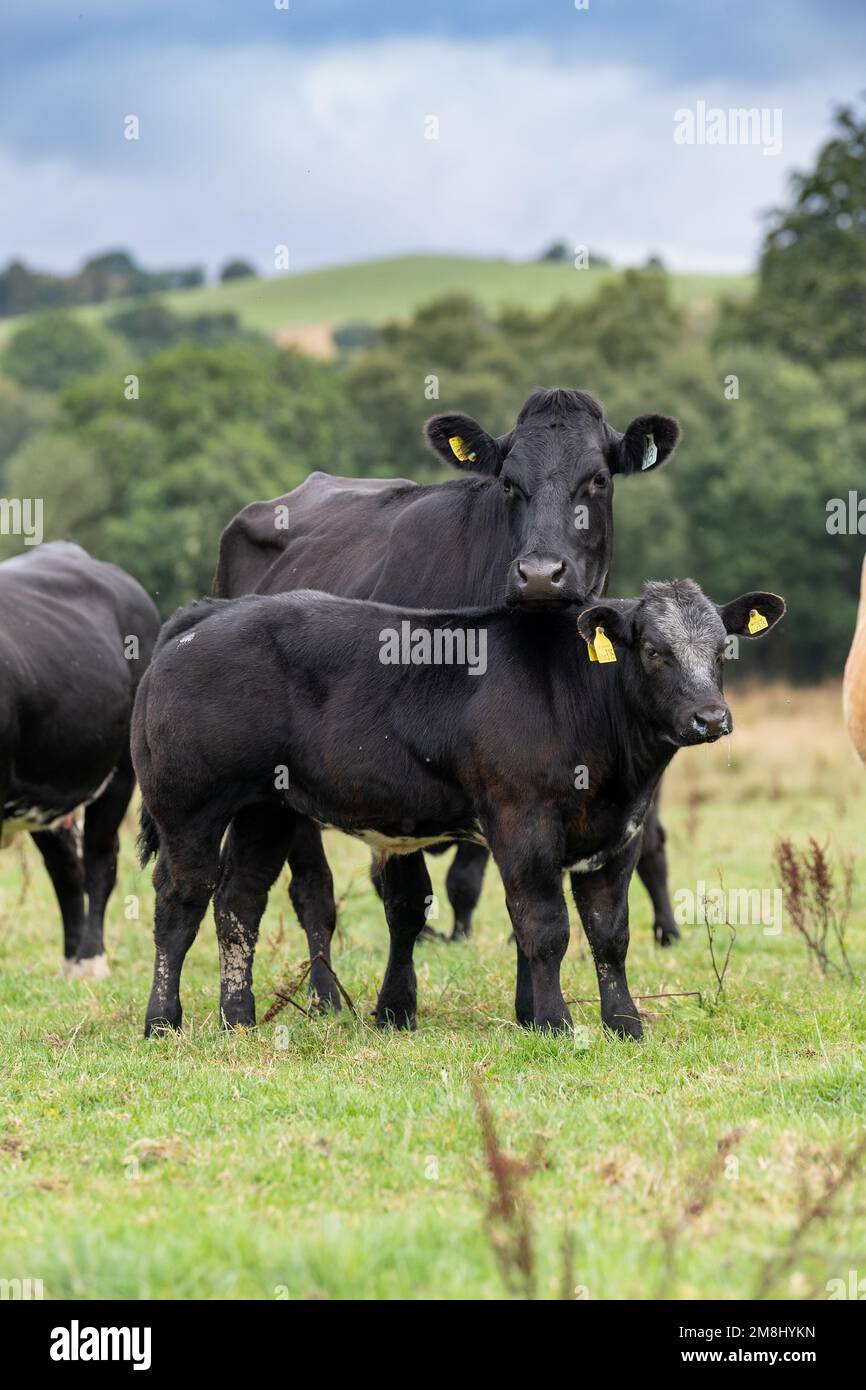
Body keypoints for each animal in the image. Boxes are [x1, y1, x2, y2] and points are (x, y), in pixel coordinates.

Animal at [0, 542, 160, 974]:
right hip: (49, 787)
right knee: (65, 870)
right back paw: (71, 962)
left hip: (119, 773)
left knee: (98, 863)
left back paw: (90, 959)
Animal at [132, 579, 785, 1038]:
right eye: (653, 650)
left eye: (721, 649)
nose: (710, 718)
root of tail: (209, 613)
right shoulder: (524, 824)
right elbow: (545, 927)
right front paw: (555, 1024)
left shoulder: (617, 836)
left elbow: (609, 933)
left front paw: (624, 1025)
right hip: (188, 809)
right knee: (179, 903)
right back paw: (163, 1021)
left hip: (267, 810)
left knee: (238, 902)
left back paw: (237, 1017)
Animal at [212, 388, 682, 1011]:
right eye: (508, 482)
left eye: (598, 479)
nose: (540, 574)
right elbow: (408, 902)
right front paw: (396, 1005)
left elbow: (518, 895)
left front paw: (530, 1009)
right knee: (313, 888)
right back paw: (325, 995)